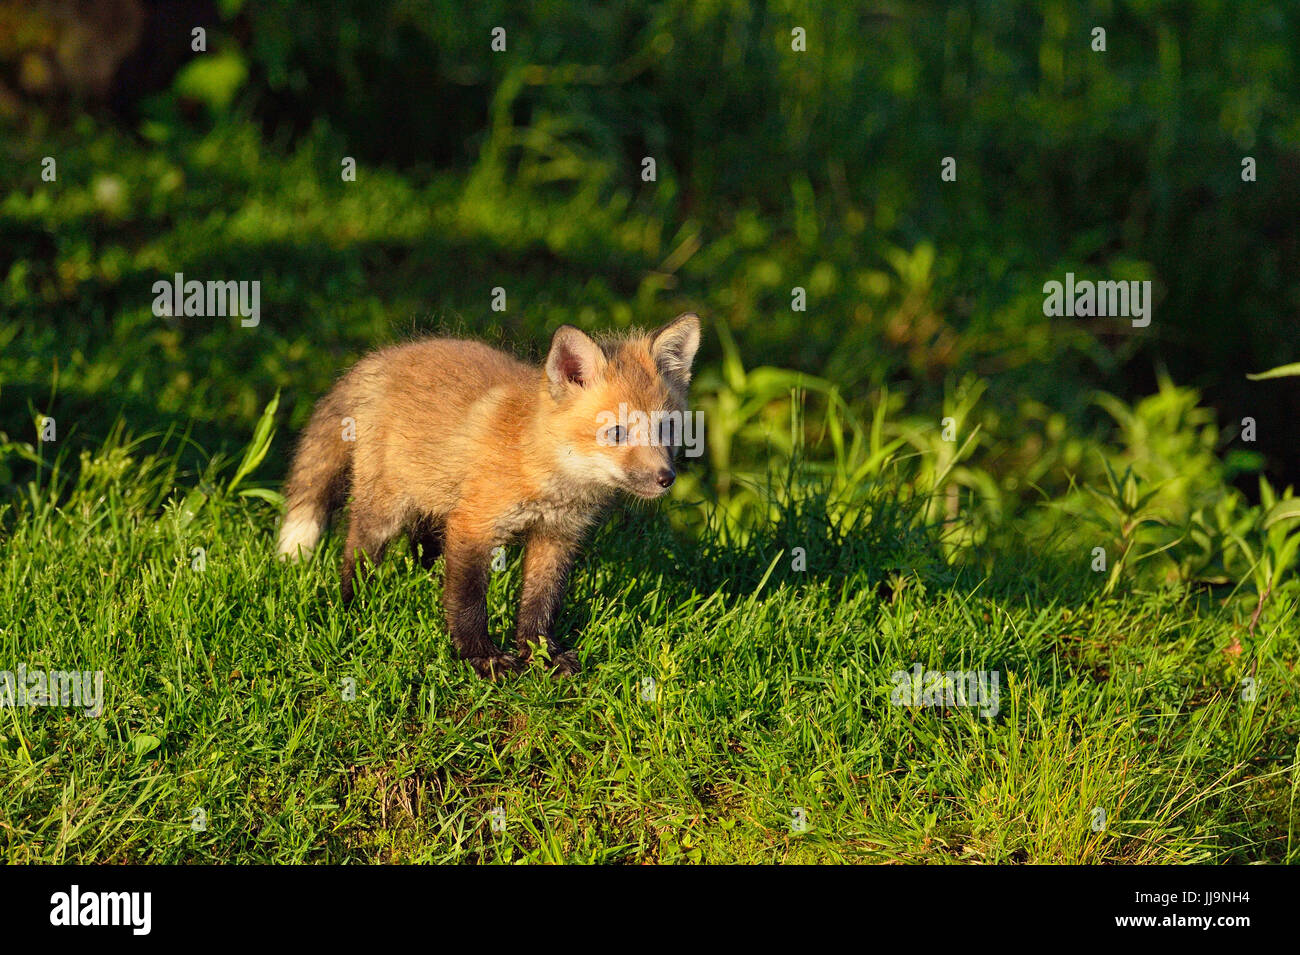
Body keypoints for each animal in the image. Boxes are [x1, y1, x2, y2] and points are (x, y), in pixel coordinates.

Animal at [276, 313, 701, 679]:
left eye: (667, 428)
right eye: (615, 432)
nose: (666, 478)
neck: (541, 467)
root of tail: (382, 357)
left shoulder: (557, 535)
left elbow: (541, 604)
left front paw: (541, 654)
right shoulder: (474, 524)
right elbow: (468, 603)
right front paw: (482, 658)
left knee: (422, 545)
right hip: (386, 508)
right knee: (357, 550)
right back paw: (354, 605)